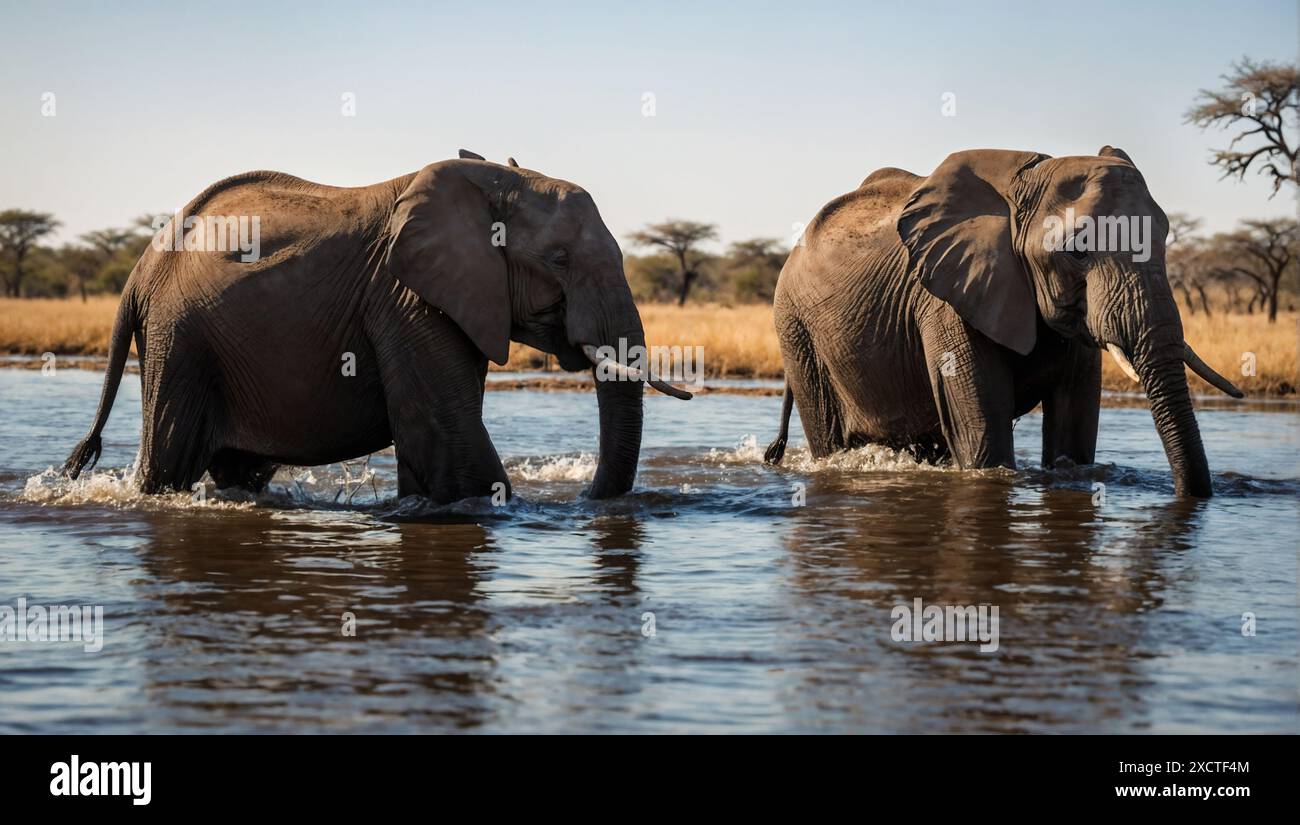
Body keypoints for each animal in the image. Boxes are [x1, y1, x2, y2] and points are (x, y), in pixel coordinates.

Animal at [64, 150, 690, 504]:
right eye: (559, 259)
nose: (587, 499)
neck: (492, 183)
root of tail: (141, 268)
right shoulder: (404, 296)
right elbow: (449, 438)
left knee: (240, 469)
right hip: (180, 341)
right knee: (169, 465)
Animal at [764, 146, 1242, 497]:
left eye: (1164, 241)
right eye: (1078, 251)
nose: (1193, 496)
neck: (1022, 189)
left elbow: (1073, 432)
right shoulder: (944, 299)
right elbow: (982, 435)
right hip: (796, 329)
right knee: (828, 435)